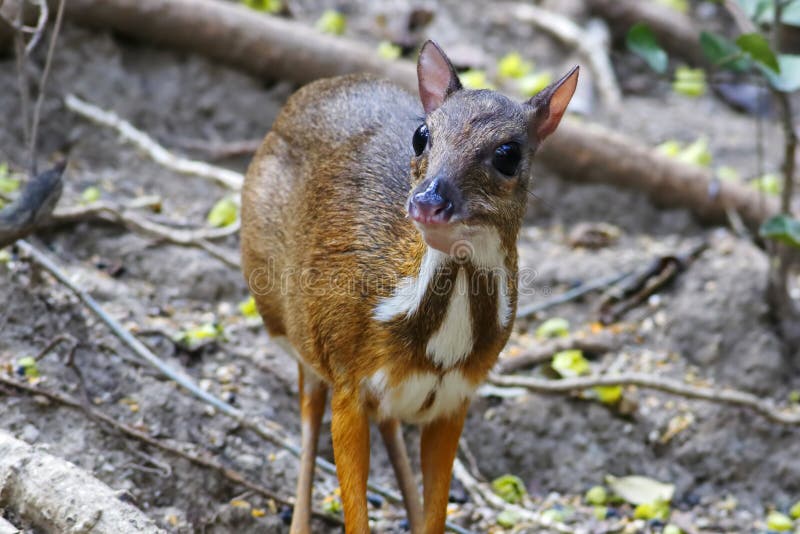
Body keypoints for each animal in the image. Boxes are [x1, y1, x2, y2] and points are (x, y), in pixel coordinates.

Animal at [241, 40, 578, 534]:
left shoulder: (455, 399)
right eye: (422, 135)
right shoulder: (348, 379)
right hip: (294, 329)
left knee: (387, 424)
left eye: (508, 154)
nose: (428, 201)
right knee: (308, 409)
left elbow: (434, 514)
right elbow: (355, 516)